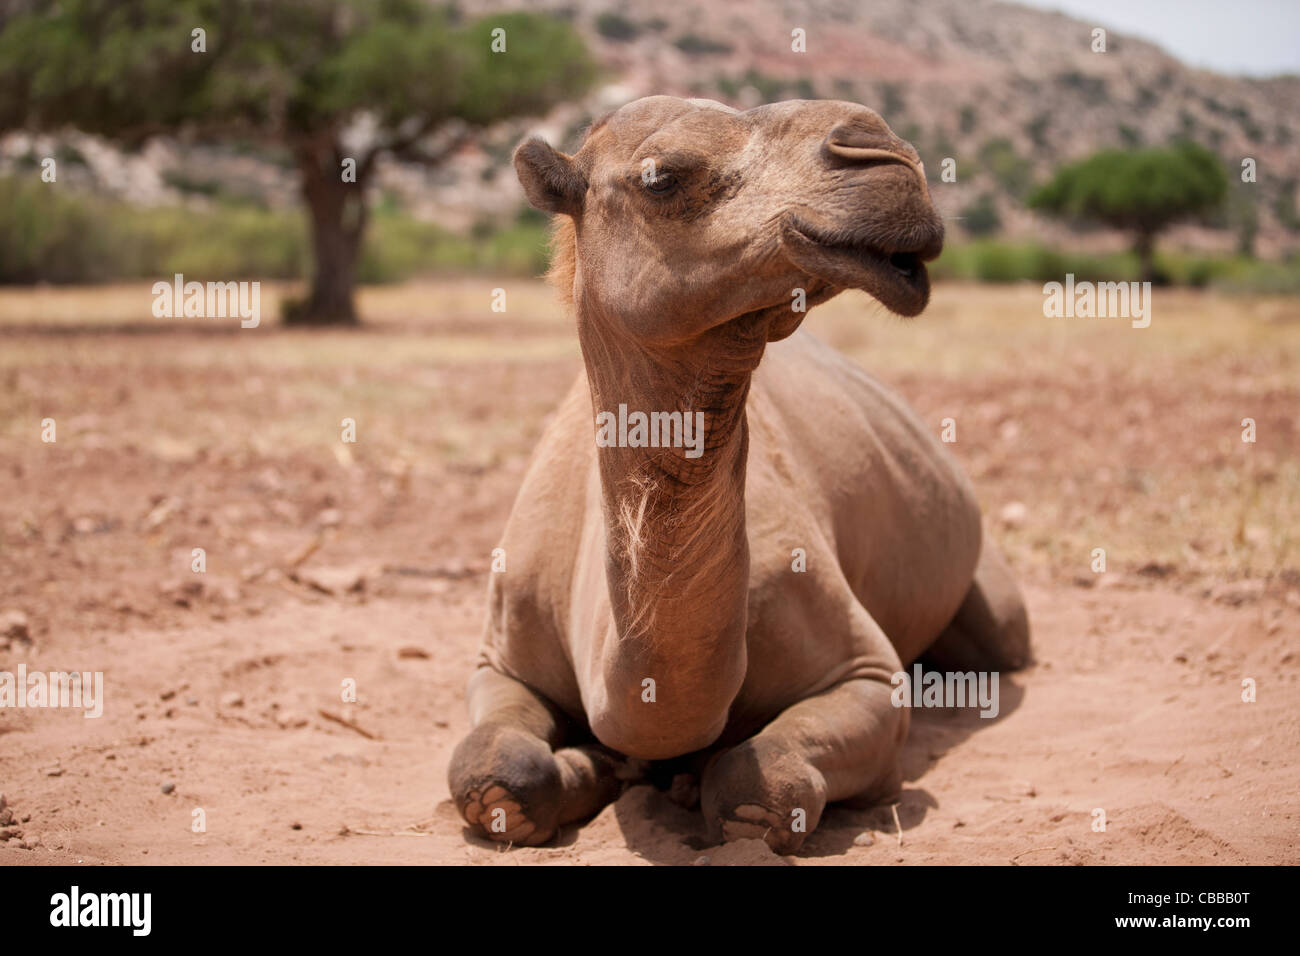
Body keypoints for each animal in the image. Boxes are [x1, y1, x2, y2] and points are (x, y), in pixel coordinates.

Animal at [448, 95, 1030, 853]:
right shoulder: (500, 656)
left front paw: (678, 779)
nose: (883, 153)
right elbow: (495, 771)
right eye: (661, 177)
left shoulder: (867, 672)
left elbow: (757, 786)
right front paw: (590, 768)